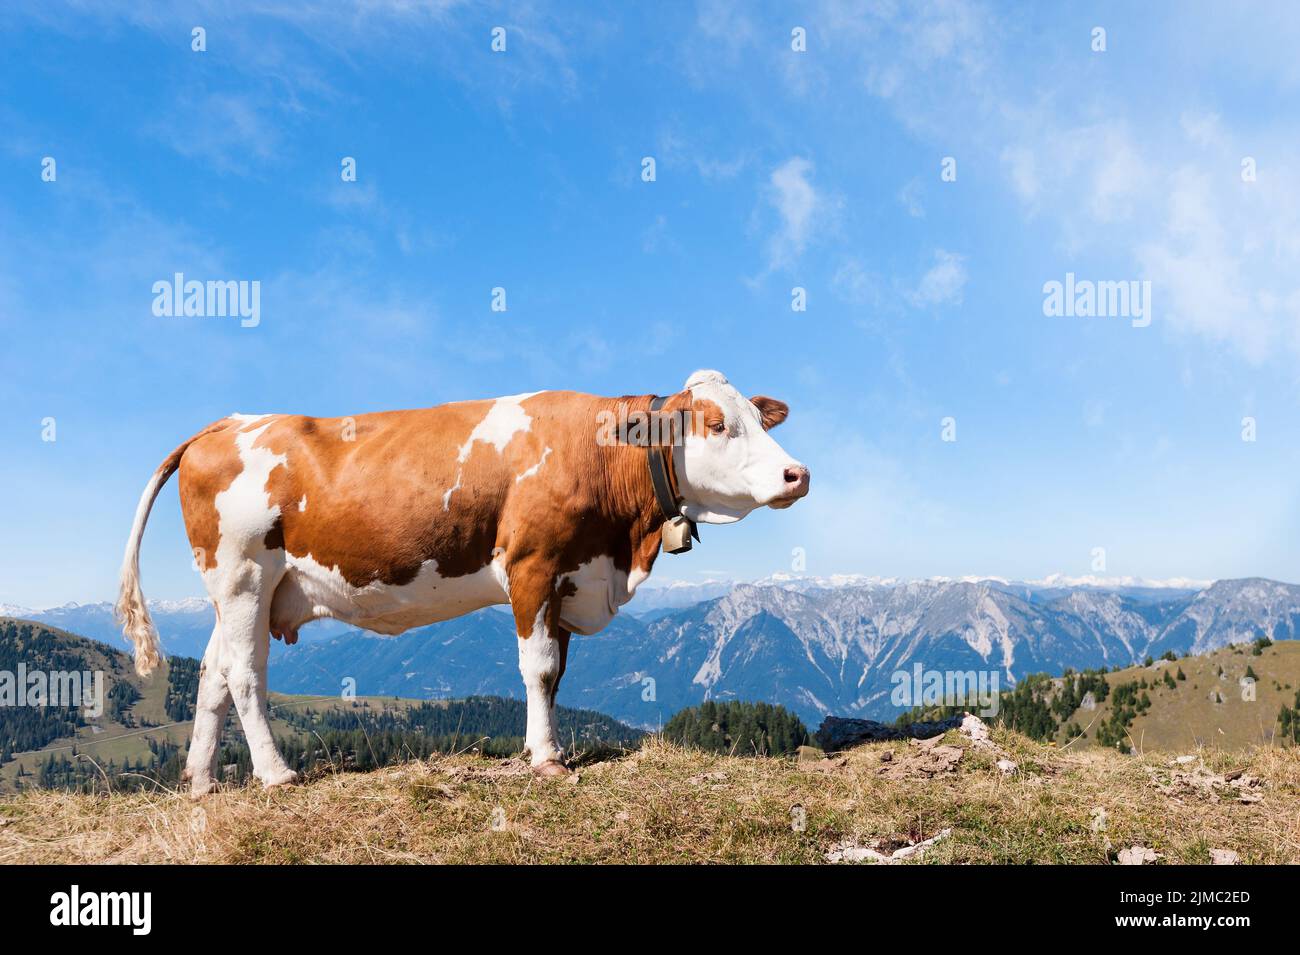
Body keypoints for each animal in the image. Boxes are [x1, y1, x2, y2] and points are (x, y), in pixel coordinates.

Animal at [115, 370, 810, 793]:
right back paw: (277, 774)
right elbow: (538, 668)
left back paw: (201, 782)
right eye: (717, 424)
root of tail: (224, 423)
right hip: (243, 575)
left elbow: (559, 673)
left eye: (760, 420)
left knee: (212, 673)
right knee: (243, 673)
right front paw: (547, 760)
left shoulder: (571, 577)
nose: (796, 474)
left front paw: (548, 747)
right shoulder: (533, 563)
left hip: (248, 590)